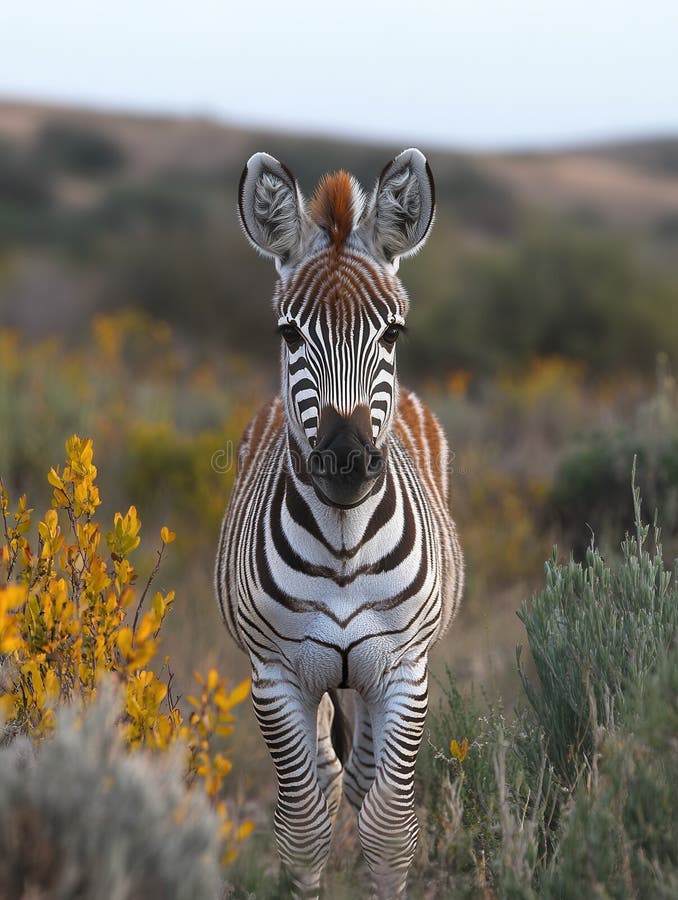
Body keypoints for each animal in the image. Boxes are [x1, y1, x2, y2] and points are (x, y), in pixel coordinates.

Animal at [216, 148, 463, 899]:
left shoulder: (405, 670)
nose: (346, 462)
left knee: (360, 777)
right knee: (328, 780)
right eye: (289, 332)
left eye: (393, 331)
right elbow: (302, 830)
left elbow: (389, 830)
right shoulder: (274, 673)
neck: (345, 543)